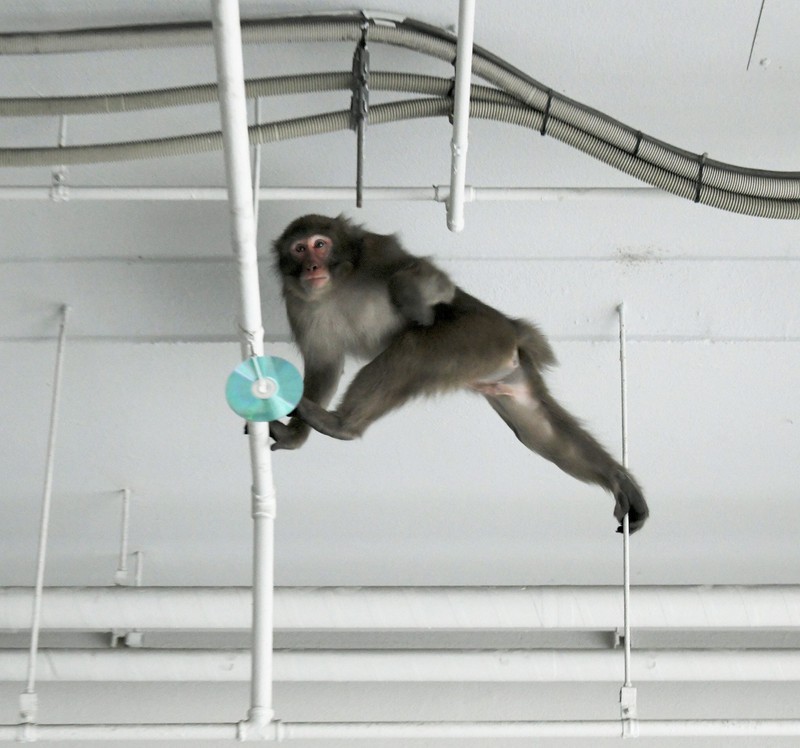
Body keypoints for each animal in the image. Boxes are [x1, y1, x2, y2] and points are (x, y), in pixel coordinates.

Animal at [270, 214, 648, 533]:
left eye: (320, 244)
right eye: (298, 249)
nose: (311, 266)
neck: (336, 287)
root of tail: (513, 331)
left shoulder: (375, 253)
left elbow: (429, 280)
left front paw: (412, 299)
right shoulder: (299, 305)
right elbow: (323, 365)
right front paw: (295, 437)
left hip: (480, 336)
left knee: (414, 348)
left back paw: (342, 425)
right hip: (498, 367)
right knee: (537, 426)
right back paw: (617, 479)